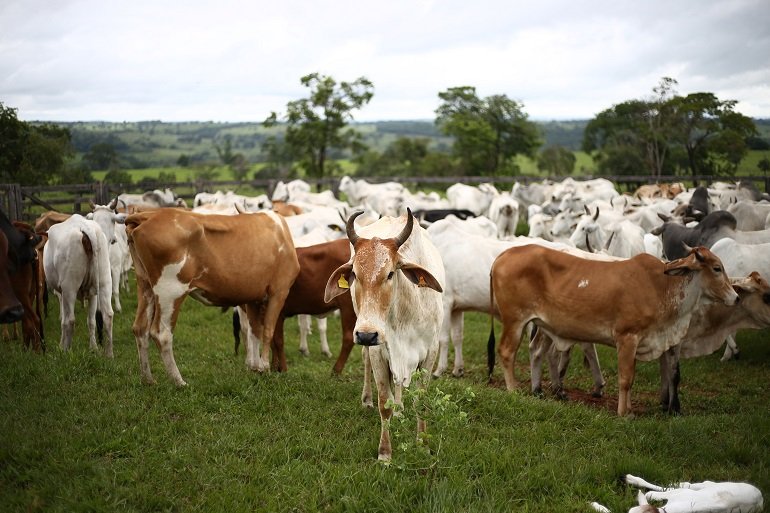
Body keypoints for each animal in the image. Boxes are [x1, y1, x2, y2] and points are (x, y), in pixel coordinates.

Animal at [44, 214, 114, 357]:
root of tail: (84, 226)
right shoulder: (93, 295)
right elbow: (91, 321)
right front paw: (93, 348)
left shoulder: (61, 293)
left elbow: (63, 320)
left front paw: (61, 346)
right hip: (104, 281)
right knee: (107, 315)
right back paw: (108, 354)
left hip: (69, 287)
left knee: (70, 320)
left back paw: (66, 352)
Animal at [125, 208, 299, 385]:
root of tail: (149, 214)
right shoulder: (279, 291)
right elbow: (268, 330)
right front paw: (265, 367)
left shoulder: (253, 297)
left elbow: (254, 331)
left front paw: (255, 368)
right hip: (170, 291)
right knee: (162, 334)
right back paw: (179, 382)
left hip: (145, 285)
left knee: (140, 329)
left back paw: (148, 379)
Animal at [324, 210, 445, 461]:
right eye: (355, 274)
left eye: (390, 273)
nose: (366, 335)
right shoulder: (379, 351)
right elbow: (384, 403)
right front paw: (385, 453)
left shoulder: (431, 351)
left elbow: (421, 400)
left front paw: (423, 444)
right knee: (367, 363)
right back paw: (367, 399)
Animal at [489, 244, 738, 416]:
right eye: (717, 268)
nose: (735, 297)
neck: (662, 287)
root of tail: (504, 255)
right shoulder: (627, 338)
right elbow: (626, 378)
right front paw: (623, 413)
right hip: (515, 321)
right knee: (506, 352)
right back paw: (513, 389)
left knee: (534, 351)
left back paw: (538, 390)